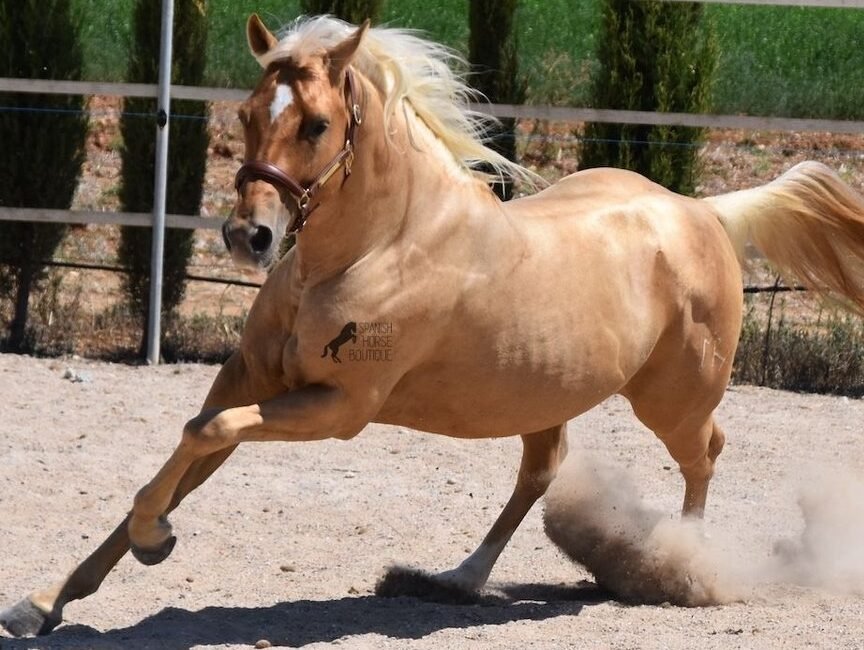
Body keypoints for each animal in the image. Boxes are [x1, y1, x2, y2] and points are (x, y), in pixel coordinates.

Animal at [4, 14, 864, 637]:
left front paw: (156, 542)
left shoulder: (339, 409)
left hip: (672, 399)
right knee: (541, 473)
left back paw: (680, 566)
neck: (375, 248)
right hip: (544, 396)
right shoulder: (249, 378)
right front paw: (46, 601)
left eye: (315, 125)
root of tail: (702, 210)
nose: (249, 237)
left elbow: (203, 436)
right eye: (246, 113)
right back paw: (459, 578)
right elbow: (184, 450)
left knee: (705, 452)